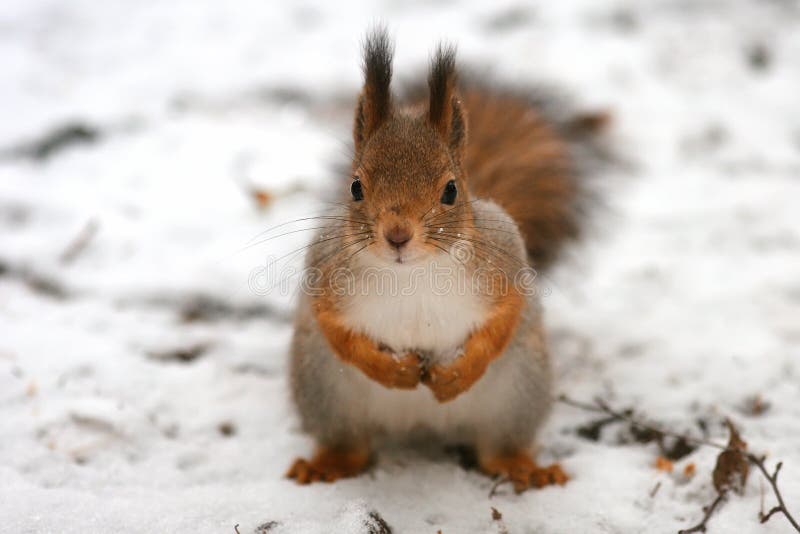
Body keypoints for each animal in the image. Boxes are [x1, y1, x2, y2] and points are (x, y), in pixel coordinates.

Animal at [285, 29, 603, 493]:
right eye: (355, 187)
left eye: (450, 190)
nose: (397, 235)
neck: (414, 273)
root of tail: (419, 426)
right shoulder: (325, 269)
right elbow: (333, 326)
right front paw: (391, 370)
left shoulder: (505, 261)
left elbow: (507, 316)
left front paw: (458, 374)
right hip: (325, 391)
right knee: (349, 443)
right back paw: (330, 463)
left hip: (519, 392)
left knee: (497, 449)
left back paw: (523, 467)